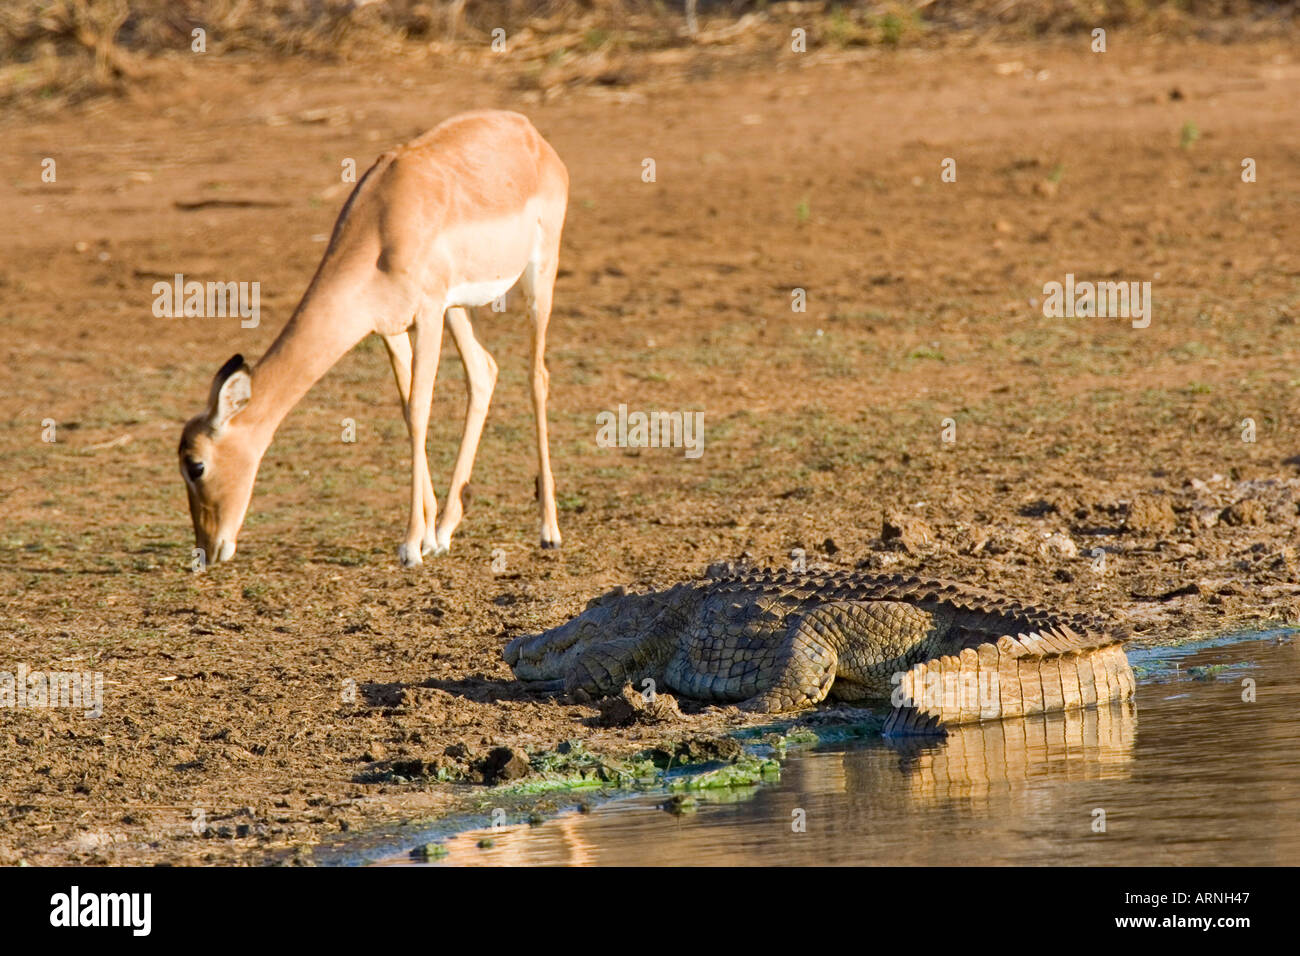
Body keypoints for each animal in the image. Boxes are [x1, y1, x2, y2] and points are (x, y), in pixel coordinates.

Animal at [178, 110, 568, 568]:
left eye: (196, 465)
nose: (205, 549)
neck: (383, 222)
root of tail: (527, 131)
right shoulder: (390, 327)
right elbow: (406, 408)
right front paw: (426, 537)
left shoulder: (427, 315)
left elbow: (419, 410)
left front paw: (410, 546)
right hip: (458, 309)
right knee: (483, 371)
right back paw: (446, 529)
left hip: (536, 279)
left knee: (537, 378)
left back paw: (549, 531)